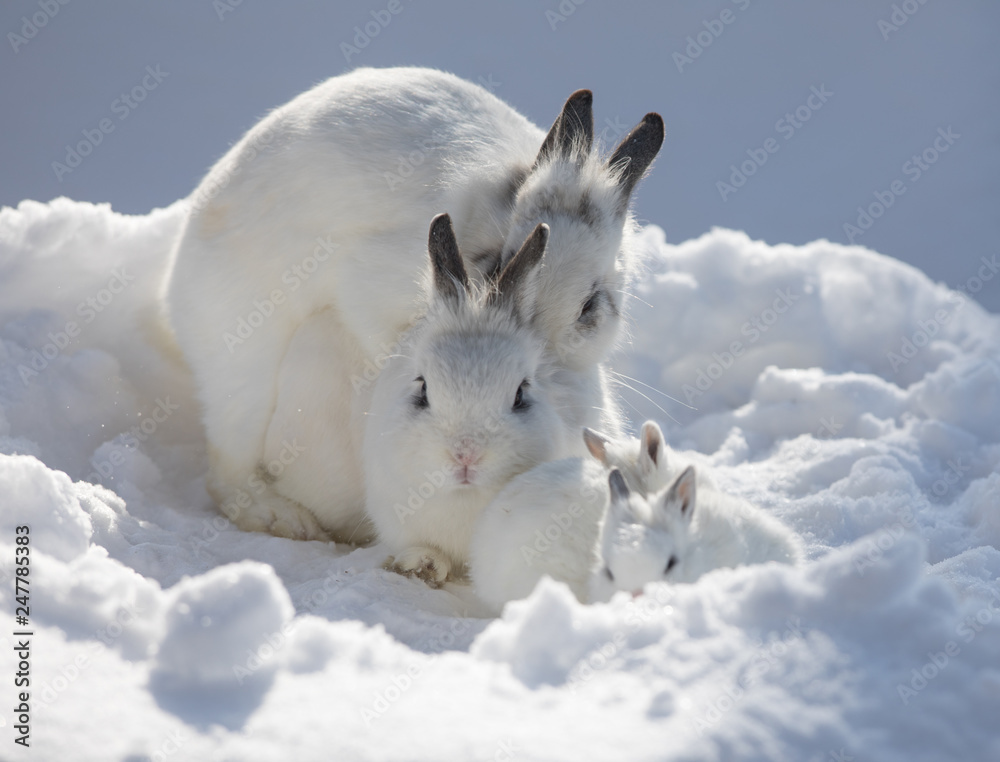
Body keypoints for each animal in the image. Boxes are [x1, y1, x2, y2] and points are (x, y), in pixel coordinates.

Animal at [161, 67, 663, 541]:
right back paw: (281, 518)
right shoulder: (369, 286)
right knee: (228, 468)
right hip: (244, 375)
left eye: (590, 306)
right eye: (501, 262)